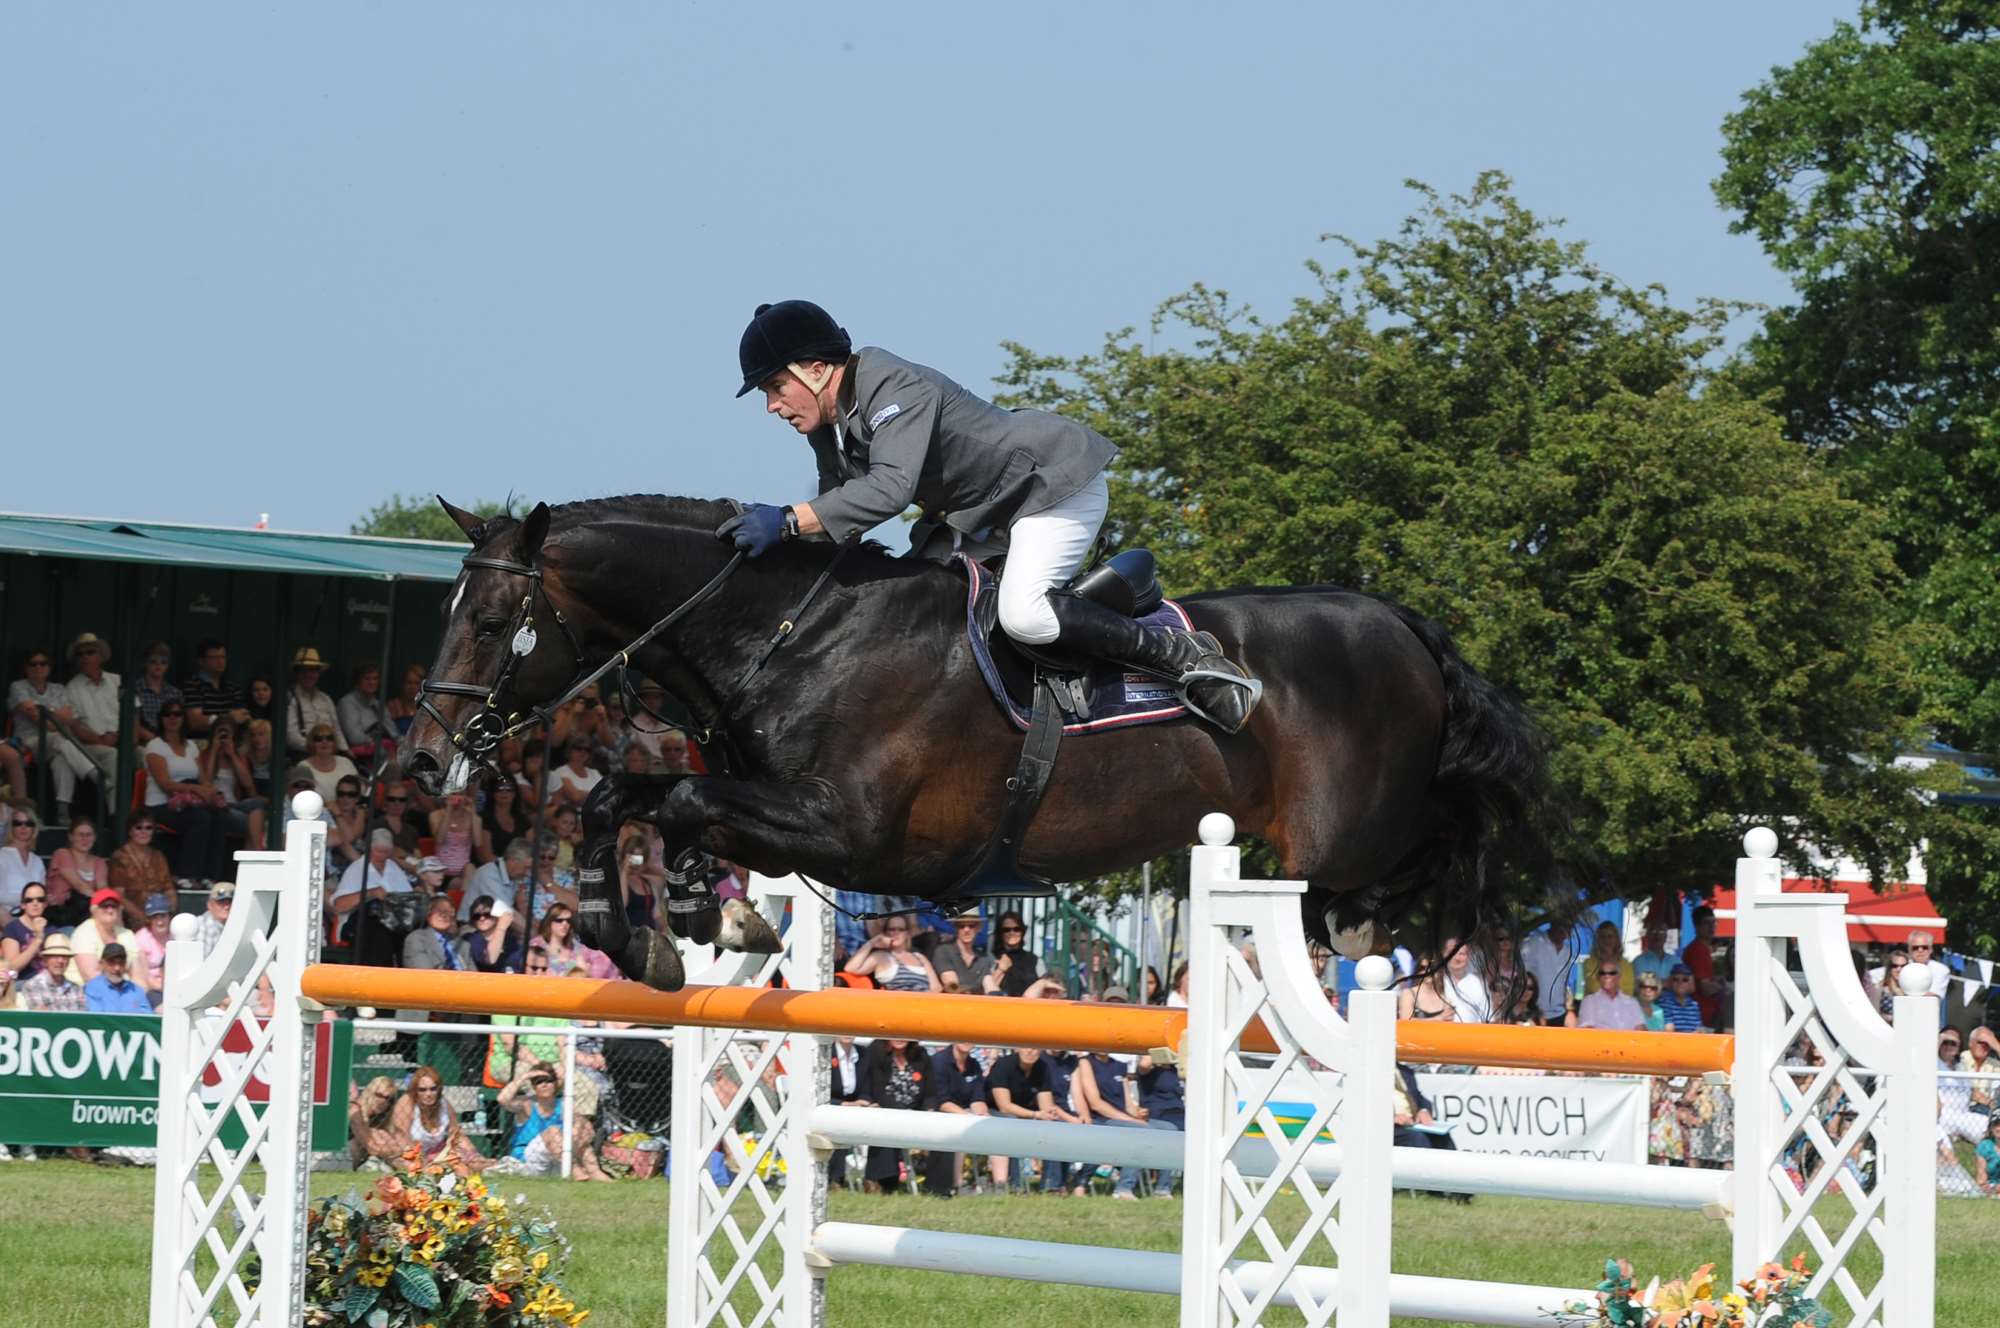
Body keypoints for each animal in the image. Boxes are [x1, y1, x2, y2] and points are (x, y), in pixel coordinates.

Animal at [403, 494, 1553, 992]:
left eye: (491, 620)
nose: (420, 757)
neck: (792, 631)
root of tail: (1397, 619)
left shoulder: (855, 836)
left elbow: (677, 802)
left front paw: (681, 917)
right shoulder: (777, 816)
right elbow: (626, 799)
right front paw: (663, 923)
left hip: (1343, 849)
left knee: (1416, 878)